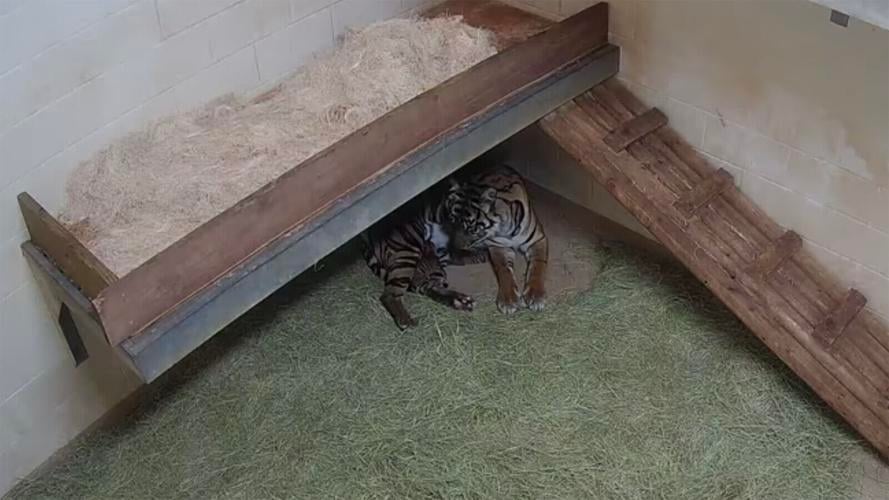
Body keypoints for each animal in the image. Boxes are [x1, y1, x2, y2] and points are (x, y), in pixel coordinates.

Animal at [362, 161, 547, 329]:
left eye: (471, 228)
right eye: (451, 221)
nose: (453, 246)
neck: (503, 226)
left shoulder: (538, 240)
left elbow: (537, 267)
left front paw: (535, 296)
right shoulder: (497, 248)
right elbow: (504, 271)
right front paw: (508, 300)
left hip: (434, 260)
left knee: (428, 286)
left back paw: (461, 300)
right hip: (408, 252)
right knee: (390, 294)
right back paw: (406, 321)